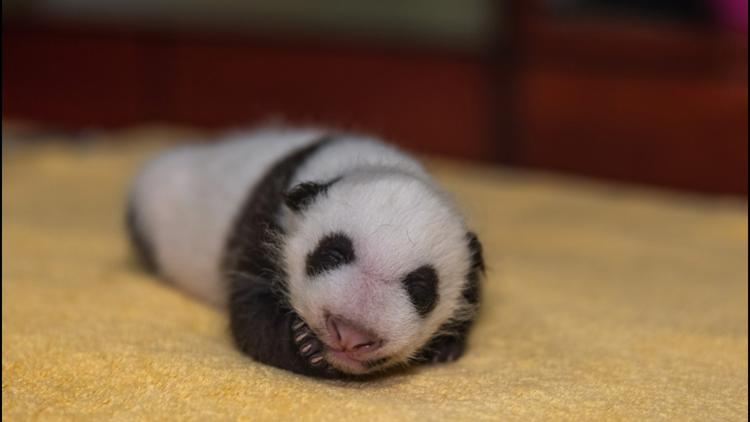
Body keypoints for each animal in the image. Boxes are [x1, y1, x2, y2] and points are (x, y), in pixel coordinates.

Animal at [126, 127, 485, 378]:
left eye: (421, 288)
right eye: (332, 254)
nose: (350, 335)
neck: (374, 162)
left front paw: (444, 347)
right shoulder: (265, 226)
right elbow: (249, 310)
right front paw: (304, 345)